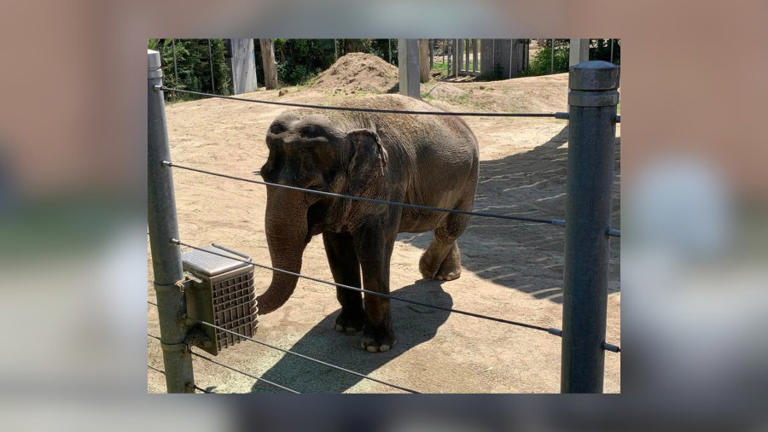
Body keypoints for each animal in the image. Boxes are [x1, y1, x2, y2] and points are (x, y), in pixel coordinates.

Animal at [256, 94, 479, 352]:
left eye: (314, 188)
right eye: (264, 175)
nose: (253, 301)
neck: (343, 117)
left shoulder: (387, 184)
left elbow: (374, 250)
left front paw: (376, 346)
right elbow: (338, 250)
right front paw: (347, 327)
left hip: (470, 178)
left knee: (450, 228)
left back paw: (430, 270)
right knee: (442, 226)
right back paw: (443, 275)